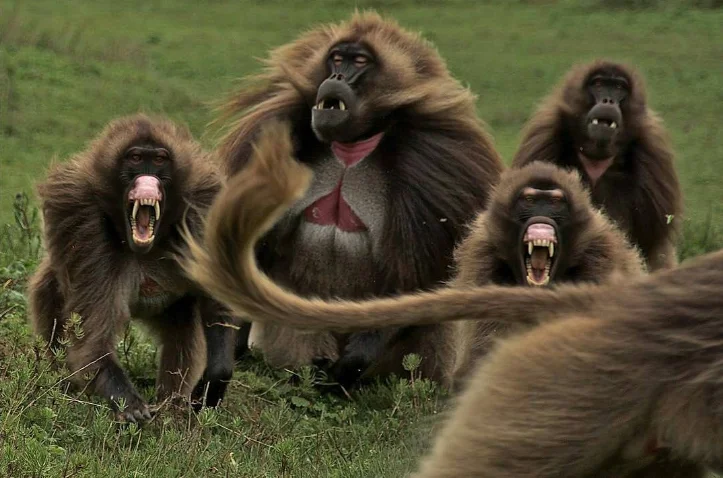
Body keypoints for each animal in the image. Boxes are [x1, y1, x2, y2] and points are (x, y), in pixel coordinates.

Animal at [28, 114, 226, 422]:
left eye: (159, 160)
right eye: (135, 158)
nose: (147, 179)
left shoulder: (204, 208)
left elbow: (216, 302)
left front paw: (214, 378)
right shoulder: (80, 214)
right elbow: (92, 339)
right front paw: (125, 401)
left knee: (184, 326)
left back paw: (172, 405)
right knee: (49, 287)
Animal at [210, 12, 503, 385]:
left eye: (360, 61)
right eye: (337, 58)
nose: (335, 76)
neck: (351, 148)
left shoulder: (439, 164)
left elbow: (422, 278)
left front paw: (353, 363)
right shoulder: (266, 140)